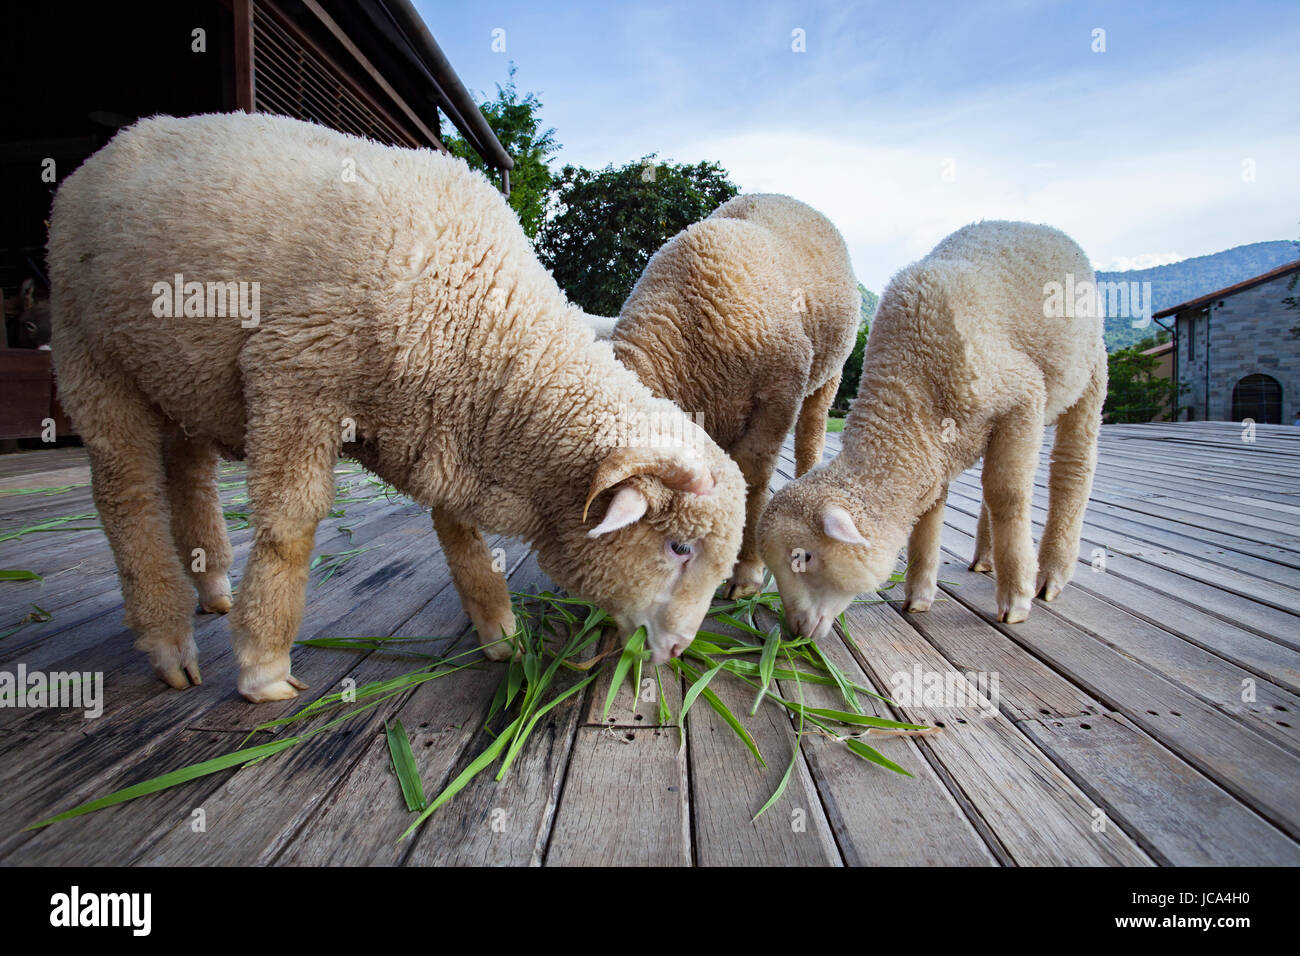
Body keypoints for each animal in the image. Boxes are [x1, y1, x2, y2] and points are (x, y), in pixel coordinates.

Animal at [48, 112, 745, 702]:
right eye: (679, 548)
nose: (678, 649)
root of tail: (110, 147)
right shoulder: (295, 369)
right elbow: (289, 528)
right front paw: (263, 666)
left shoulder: (449, 423)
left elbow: (461, 534)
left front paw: (500, 633)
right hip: (90, 349)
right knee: (126, 492)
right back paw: (168, 640)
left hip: (176, 374)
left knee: (189, 475)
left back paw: (213, 588)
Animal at [758, 220, 1106, 640]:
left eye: (804, 556)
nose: (794, 631)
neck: (909, 381)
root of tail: (1042, 227)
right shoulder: (930, 446)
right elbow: (931, 512)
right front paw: (920, 595)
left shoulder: (1023, 395)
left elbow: (1007, 494)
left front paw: (1016, 599)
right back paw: (986, 558)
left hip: (1091, 371)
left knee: (1072, 468)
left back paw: (1051, 573)